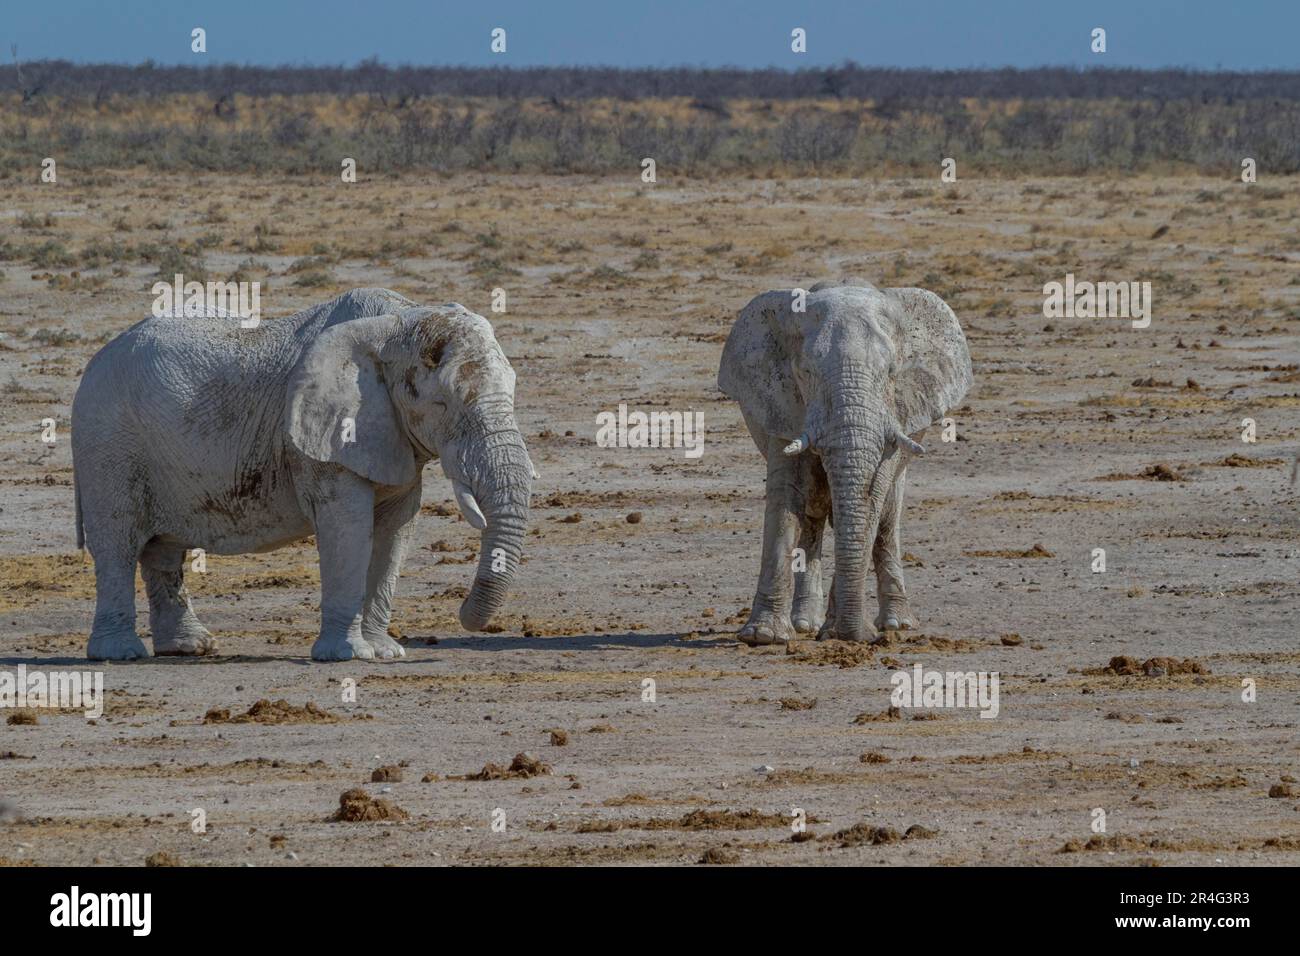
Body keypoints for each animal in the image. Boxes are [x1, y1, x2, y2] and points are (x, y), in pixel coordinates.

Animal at [71, 288, 533, 661]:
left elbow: (396, 531)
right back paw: (119, 654)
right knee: (117, 542)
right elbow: (348, 528)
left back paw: (189, 648)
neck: (399, 320)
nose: (462, 616)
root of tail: (96, 358)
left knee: (162, 551)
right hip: (106, 444)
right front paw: (348, 656)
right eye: (443, 404)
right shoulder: (325, 440)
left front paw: (385, 652)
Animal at [717, 279, 972, 645]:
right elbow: (786, 498)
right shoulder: (784, 406)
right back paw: (806, 625)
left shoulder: (897, 410)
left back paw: (896, 625)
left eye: (891, 371)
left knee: (887, 516)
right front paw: (763, 636)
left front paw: (842, 631)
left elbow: (874, 499)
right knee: (813, 514)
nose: (858, 636)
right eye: (806, 372)